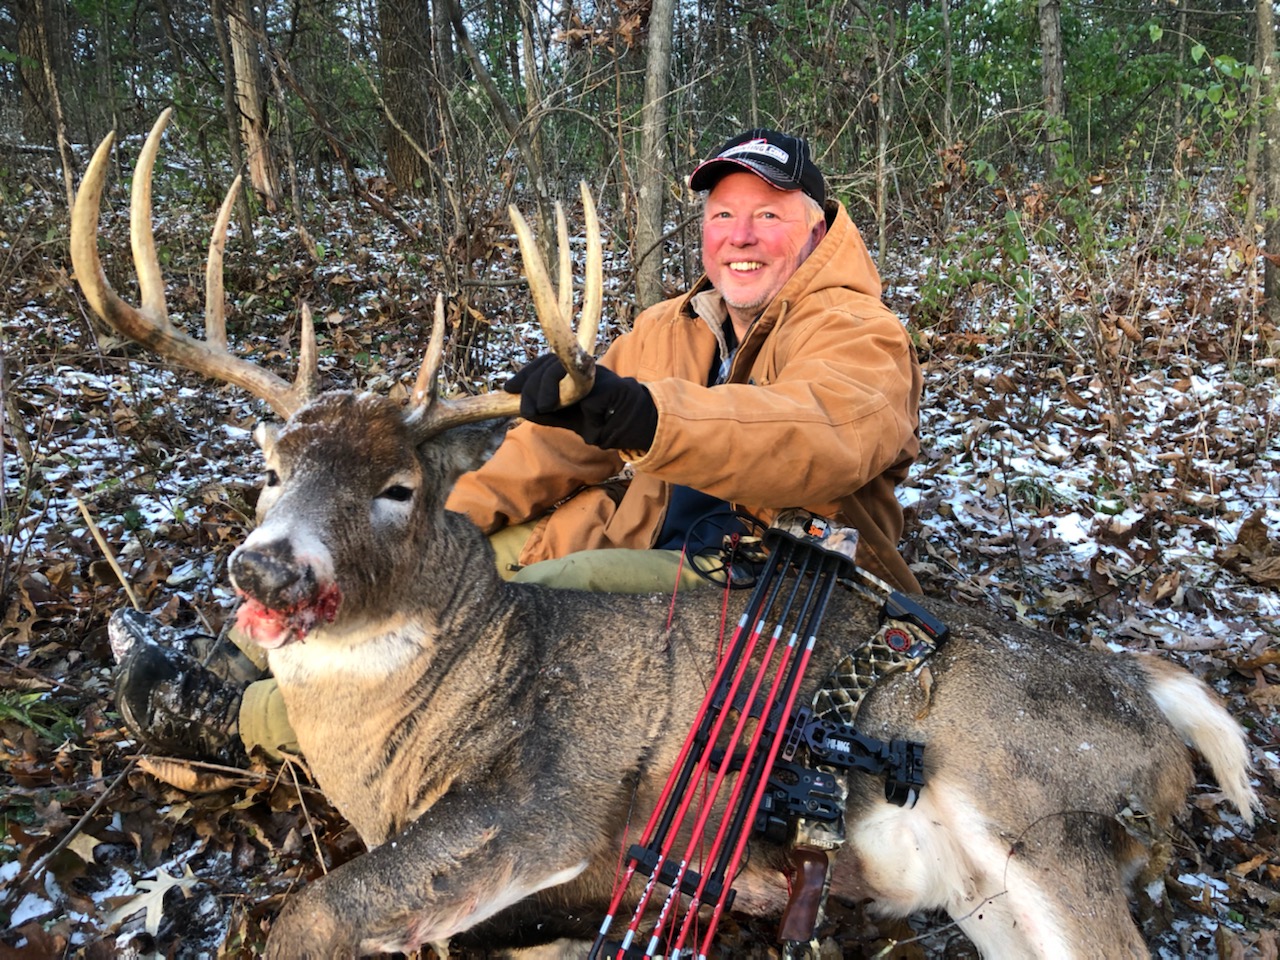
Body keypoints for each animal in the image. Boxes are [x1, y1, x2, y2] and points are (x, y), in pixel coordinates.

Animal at [71, 112, 1259, 960]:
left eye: (400, 487)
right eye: (272, 471)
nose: (264, 565)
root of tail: (1152, 691)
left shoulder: (548, 800)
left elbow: (314, 915)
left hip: (1035, 812)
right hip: (987, 885)